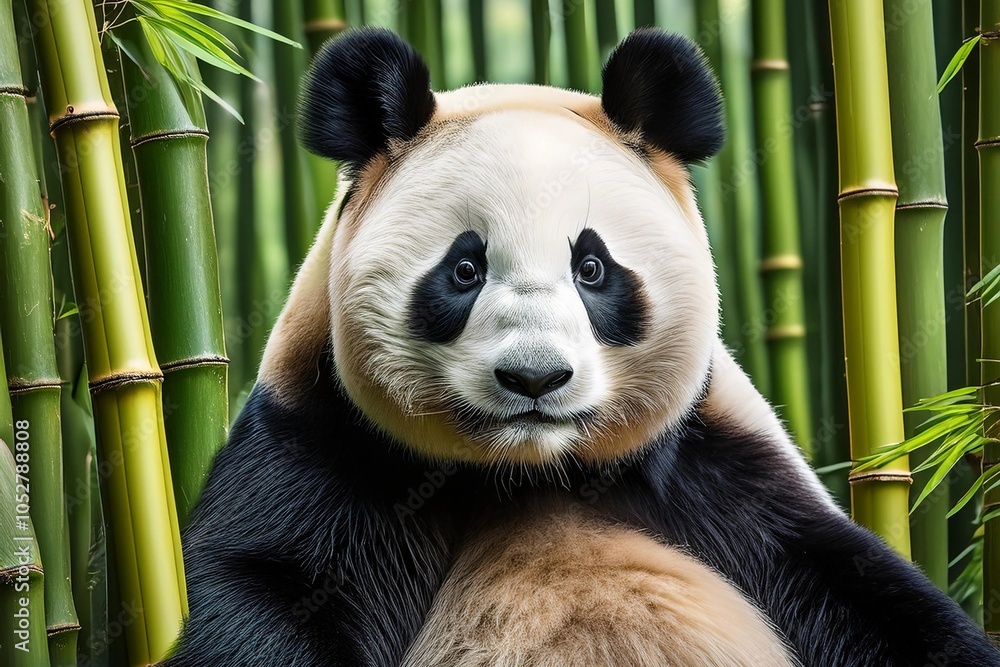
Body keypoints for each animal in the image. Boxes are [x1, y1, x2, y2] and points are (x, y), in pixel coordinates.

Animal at [163, 27, 1000, 667]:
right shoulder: (326, 452)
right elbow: (266, 587)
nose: (534, 377)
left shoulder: (719, 476)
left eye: (592, 267)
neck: (535, 472)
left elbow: (863, 592)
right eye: (464, 268)